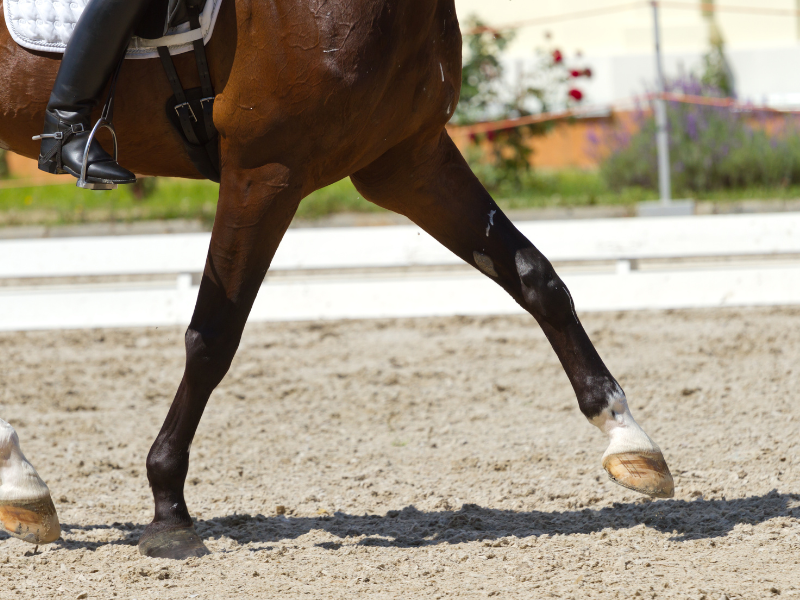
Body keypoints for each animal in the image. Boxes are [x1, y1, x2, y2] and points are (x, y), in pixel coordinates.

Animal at [0, 0, 674, 559]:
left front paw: (628, 438)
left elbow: (537, 278)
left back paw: (20, 483)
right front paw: (169, 511)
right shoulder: (266, 169)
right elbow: (213, 336)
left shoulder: (407, 159)